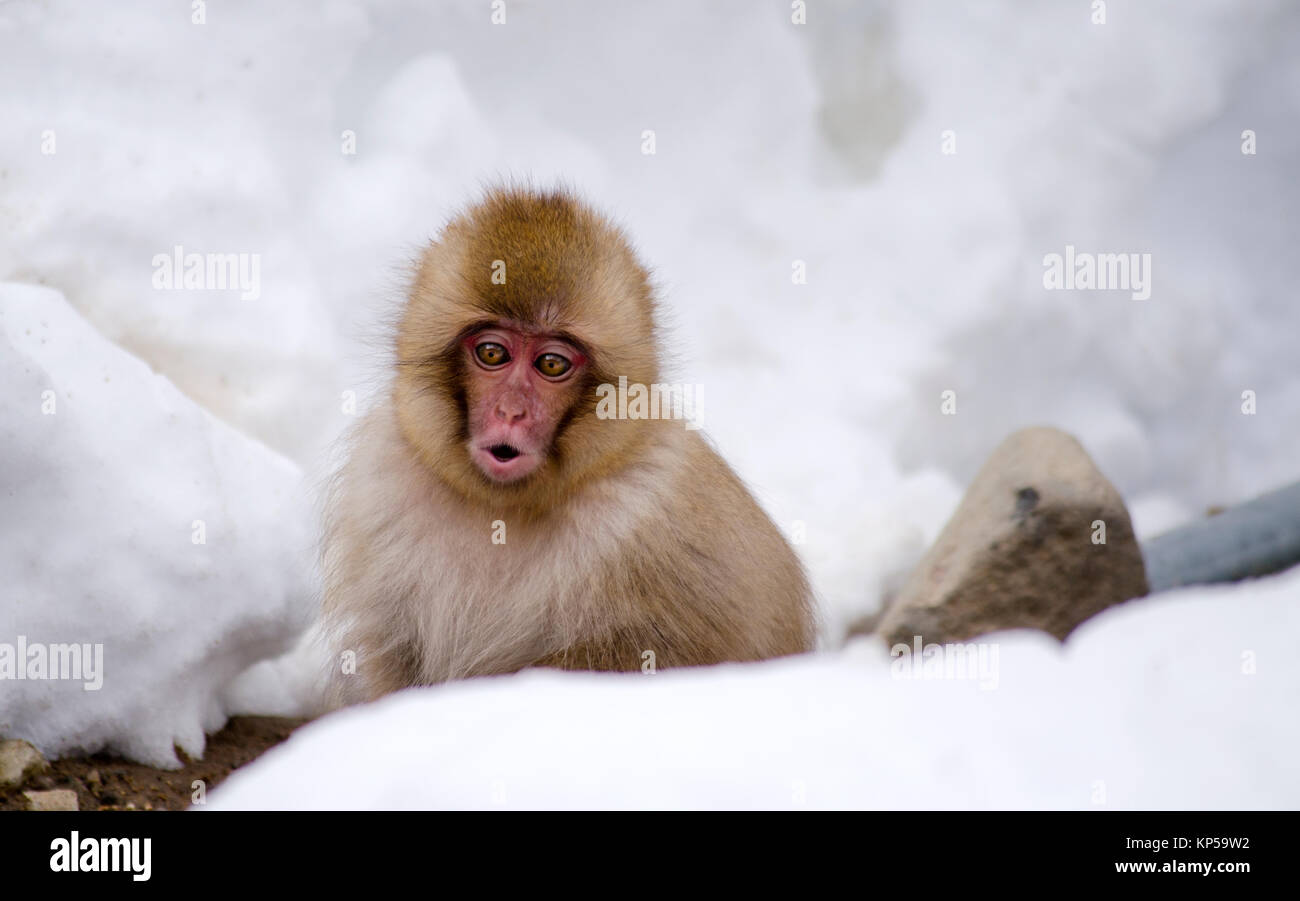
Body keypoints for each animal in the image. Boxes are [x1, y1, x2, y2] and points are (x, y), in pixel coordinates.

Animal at [321, 186, 814, 704]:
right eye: (492, 353)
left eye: (552, 364)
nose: (511, 412)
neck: (502, 508)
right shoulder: (382, 484)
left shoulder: (653, 514)